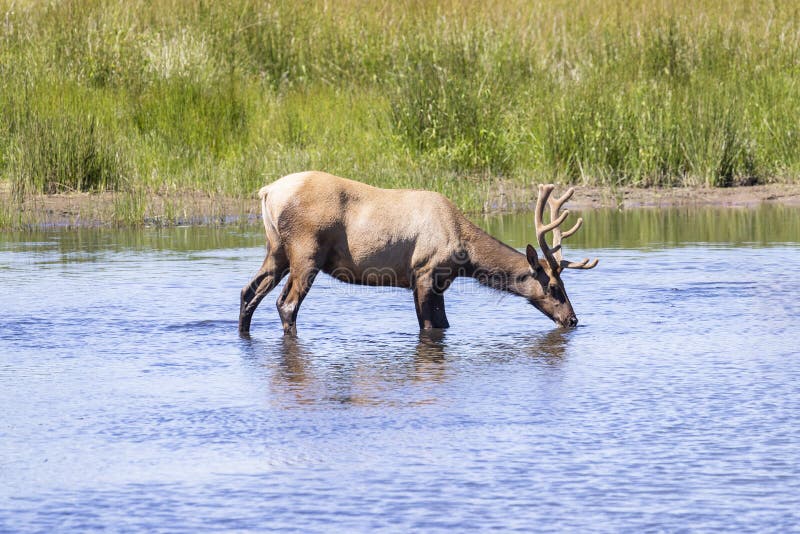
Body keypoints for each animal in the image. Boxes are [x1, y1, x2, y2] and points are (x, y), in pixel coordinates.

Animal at [239, 171, 598, 335]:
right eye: (555, 287)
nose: (573, 319)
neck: (465, 254)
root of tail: (267, 191)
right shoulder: (424, 272)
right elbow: (429, 326)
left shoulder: (440, 282)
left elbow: (444, 325)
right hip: (306, 250)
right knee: (286, 303)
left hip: (276, 250)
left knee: (248, 291)